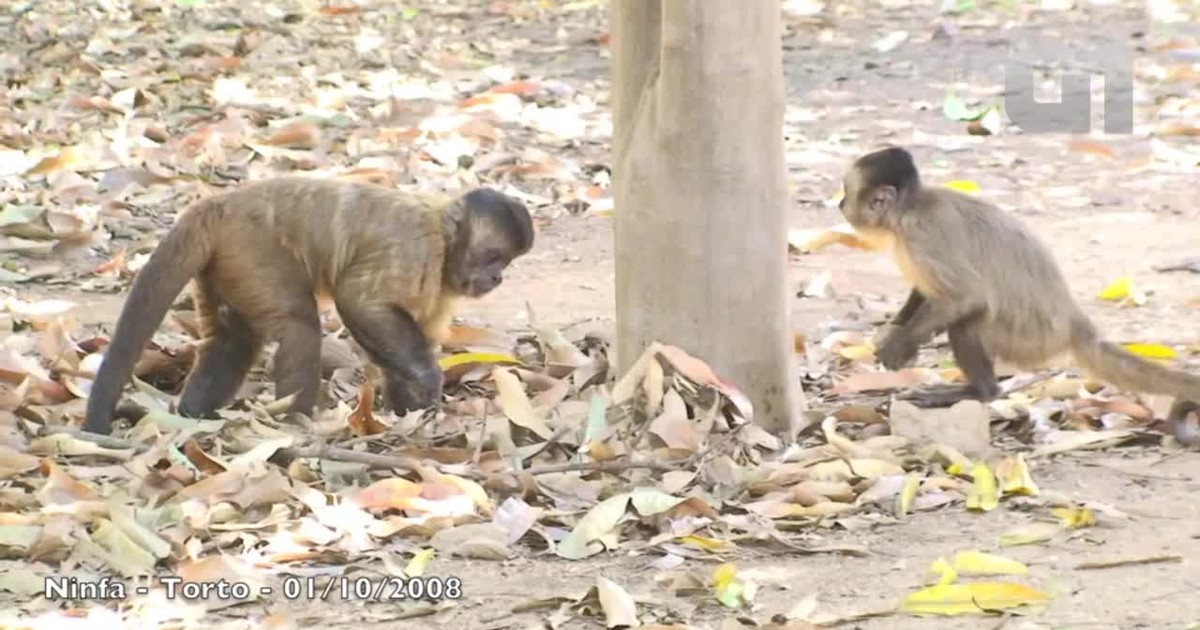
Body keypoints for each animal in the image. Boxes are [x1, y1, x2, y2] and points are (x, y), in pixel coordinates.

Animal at [83, 177, 534, 435]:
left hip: (228, 259)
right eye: (493, 257)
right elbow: (358, 300)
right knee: (299, 324)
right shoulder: (417, 248)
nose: (497, 277)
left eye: (506, 262)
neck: (443, 238)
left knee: (233, 338)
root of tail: (219, 204)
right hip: (252, 246)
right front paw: (428, 384)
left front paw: (411, 414)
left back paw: (196, 413)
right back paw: (295, 422)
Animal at [838, 146, 1200, 447]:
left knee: (966, 322)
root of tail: (1073, 318)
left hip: (1029, 336)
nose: (840, 204)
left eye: (846, 192)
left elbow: (966, 297)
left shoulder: (920, 235)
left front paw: (901, 344)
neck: (907, 210)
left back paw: (979, 392)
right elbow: (927, 291)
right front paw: (898, 325)